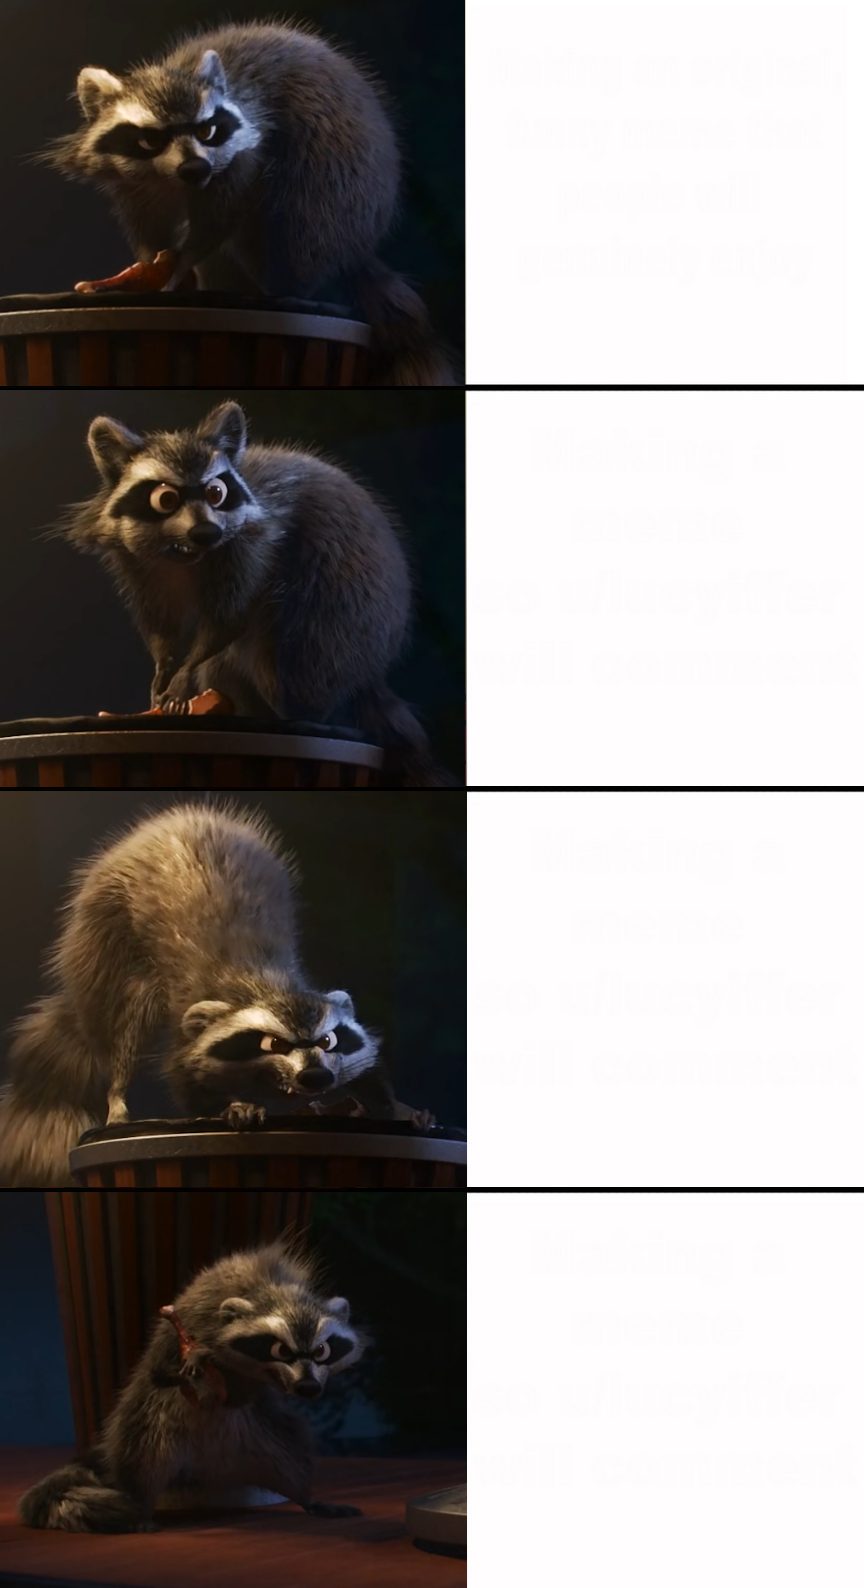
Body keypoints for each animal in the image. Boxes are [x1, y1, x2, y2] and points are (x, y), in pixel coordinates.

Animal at [0, 803, 424, 1188]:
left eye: (328, 1041)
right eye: (272, 1044)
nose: (316, 1076)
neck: (270, 984)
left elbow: (367, 1069)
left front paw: (392, 1107)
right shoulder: (187, 1023)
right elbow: (185, 1078)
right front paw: (230, 1105)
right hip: (105, 938)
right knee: (127, 1026)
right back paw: (117, 1096)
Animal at [19, 1241, 367, 1532]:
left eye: (322, 1351)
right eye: (280, 1350)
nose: (308, 1388)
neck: (274, 1290)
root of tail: (206, 1469)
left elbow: (242, 1398)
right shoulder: (193, 1316)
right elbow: (161, 1371)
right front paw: (200, 1359)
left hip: (267, 1435)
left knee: (292, 1455)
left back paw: (304, 1496)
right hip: (149, 1426)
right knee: (141, 1462)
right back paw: (140, 1504)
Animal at [44, 21, 456, 386]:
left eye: (207, 130)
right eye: (151, 139)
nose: (195, 169)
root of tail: (360, 247)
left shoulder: (246, 158)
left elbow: (221, 215)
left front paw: (181, 262)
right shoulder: (134, 181)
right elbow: (148, 223)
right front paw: (152, 265)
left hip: (340, 181)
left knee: (297, 228)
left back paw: (281, 287)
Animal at [59, 399, 451, 788]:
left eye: (216, 493)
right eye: (166, 498)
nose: (206, 531)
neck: (185, 551)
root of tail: (374, 672)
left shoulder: (254, 545)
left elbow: (229, 618)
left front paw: (184, 673)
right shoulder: (138, 560)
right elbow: (163, 622)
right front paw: (165, 662)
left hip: (347, 606)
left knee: (290, 661)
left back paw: (293, 715)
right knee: (225, 668)